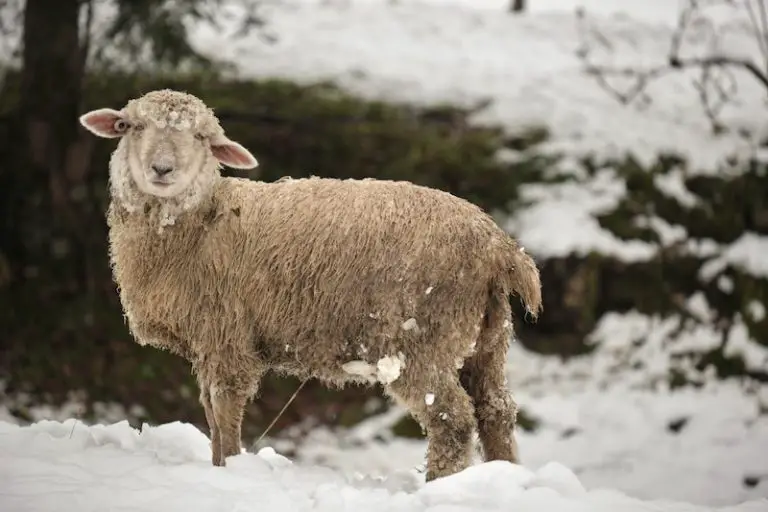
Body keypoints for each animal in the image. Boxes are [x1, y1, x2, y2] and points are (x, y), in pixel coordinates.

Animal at [78, 88, 543, 482]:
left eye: (201, 137)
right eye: (130, 126)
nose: (162, 169)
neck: (198, 223)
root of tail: (499, 246)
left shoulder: (226, 338)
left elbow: (224, 413)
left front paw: (229, 470)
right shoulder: (209, 342)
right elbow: (210, 413)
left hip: (424, 340)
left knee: (452, 420)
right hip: (488, 338)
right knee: (496, 410)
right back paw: (502, 476)